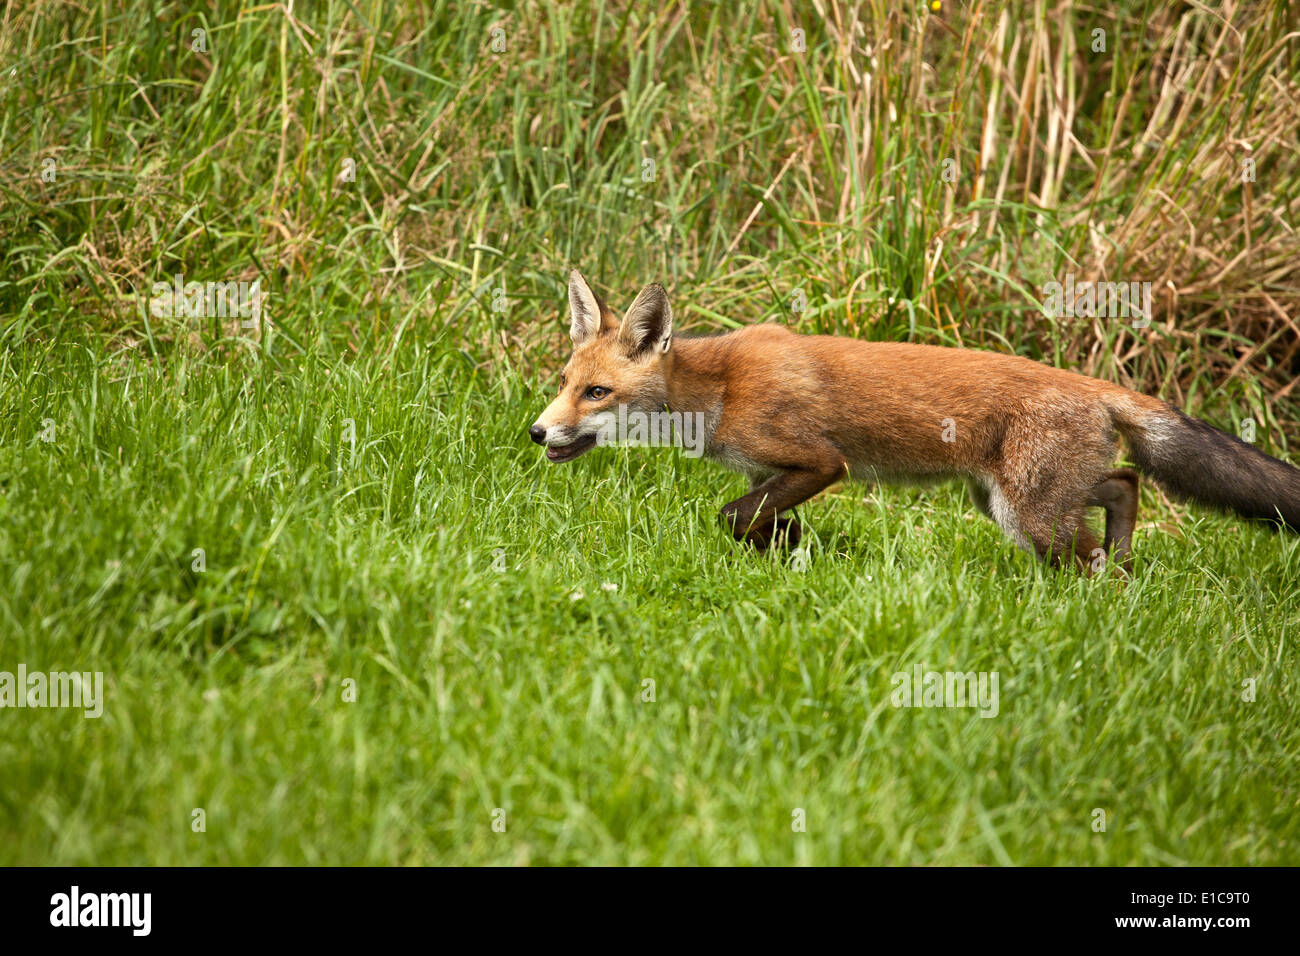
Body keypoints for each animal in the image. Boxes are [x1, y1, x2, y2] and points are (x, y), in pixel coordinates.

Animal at [529, 270, 1300, 573]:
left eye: (597, 392)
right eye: (564, 384)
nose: (537, 432)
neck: (718, 388)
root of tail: (1092, 382)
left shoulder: (819, 461)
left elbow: (732, 515)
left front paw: (785, 544)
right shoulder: (771, 472)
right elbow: (754, 516)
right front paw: (790, 547)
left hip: (1029, 515)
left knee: (1093, 543)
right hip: (1010, 498)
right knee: (1124, 484)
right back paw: (1128, 564)